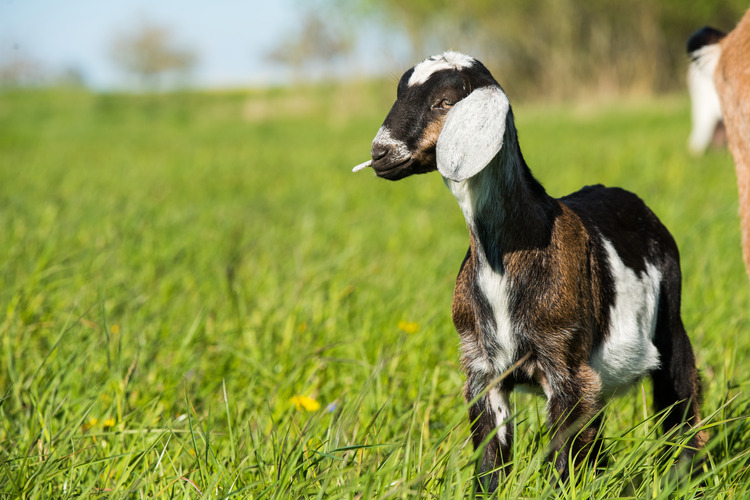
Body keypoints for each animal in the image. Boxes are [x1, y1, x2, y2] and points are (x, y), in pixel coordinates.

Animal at [354, 52, 705, 490]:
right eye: (400, 93)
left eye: (445, 102)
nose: (381, 152)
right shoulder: (482, 369)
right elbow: (491, 463)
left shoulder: (566, 366)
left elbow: (562, 460)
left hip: (670, 326)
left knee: (682, 405)